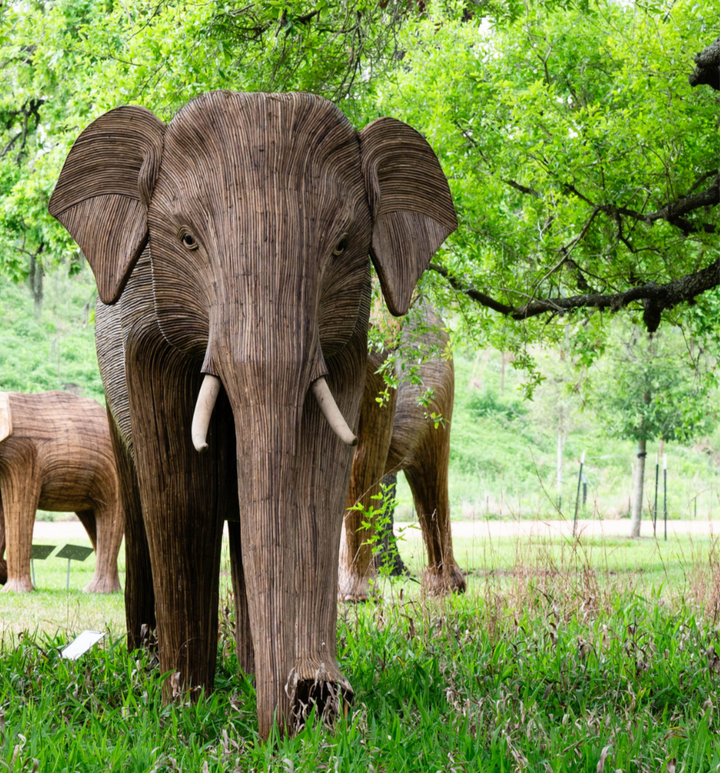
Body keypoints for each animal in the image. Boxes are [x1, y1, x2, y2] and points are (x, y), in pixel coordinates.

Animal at [0, 390, 123, 592]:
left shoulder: (23, 453)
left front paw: (14, 591)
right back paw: (112, 591)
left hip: (113, 475)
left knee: (110, 516)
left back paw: (95, 591)